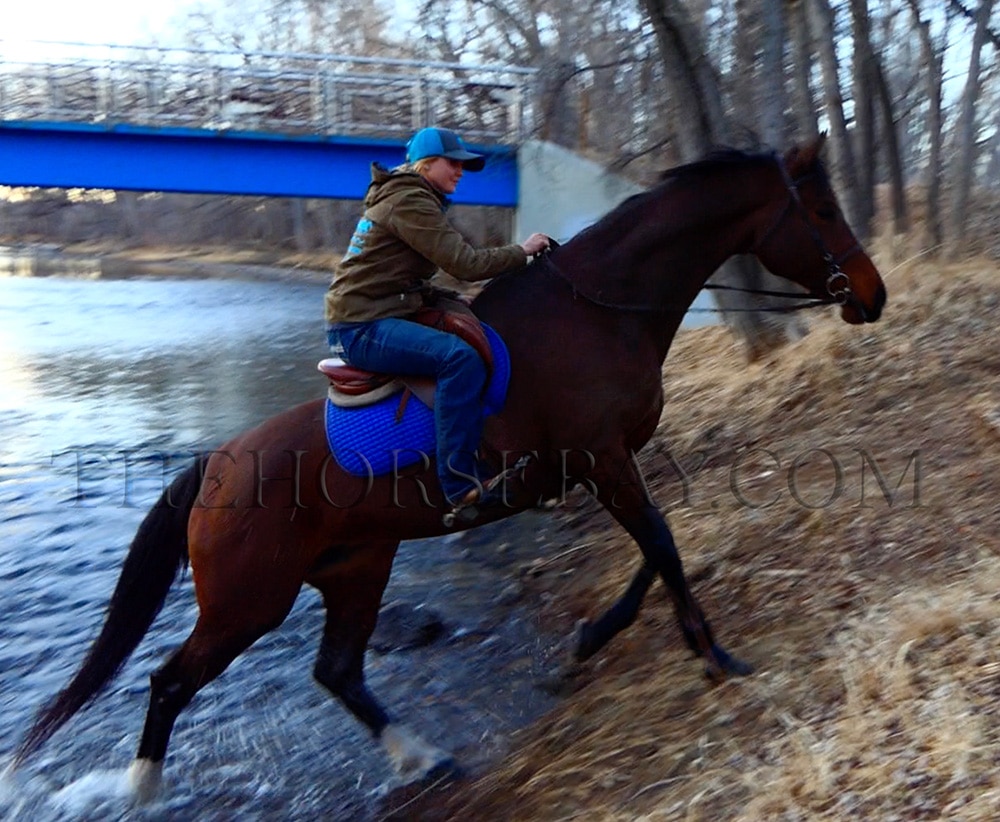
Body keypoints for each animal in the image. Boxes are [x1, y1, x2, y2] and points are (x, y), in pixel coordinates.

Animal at [13, 135, 886, 801]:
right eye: (821, 211)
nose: (872, 295)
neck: (597, 310)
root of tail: (214, 468)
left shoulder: (611, 464)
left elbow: (655, 551)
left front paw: (591, 638)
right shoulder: (604, 460)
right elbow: (664, 546)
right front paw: (714, 655)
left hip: (357, 568)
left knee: (337, 671)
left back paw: (422, 756)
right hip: (245, 606)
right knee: (170, 682)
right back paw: (143, 790)